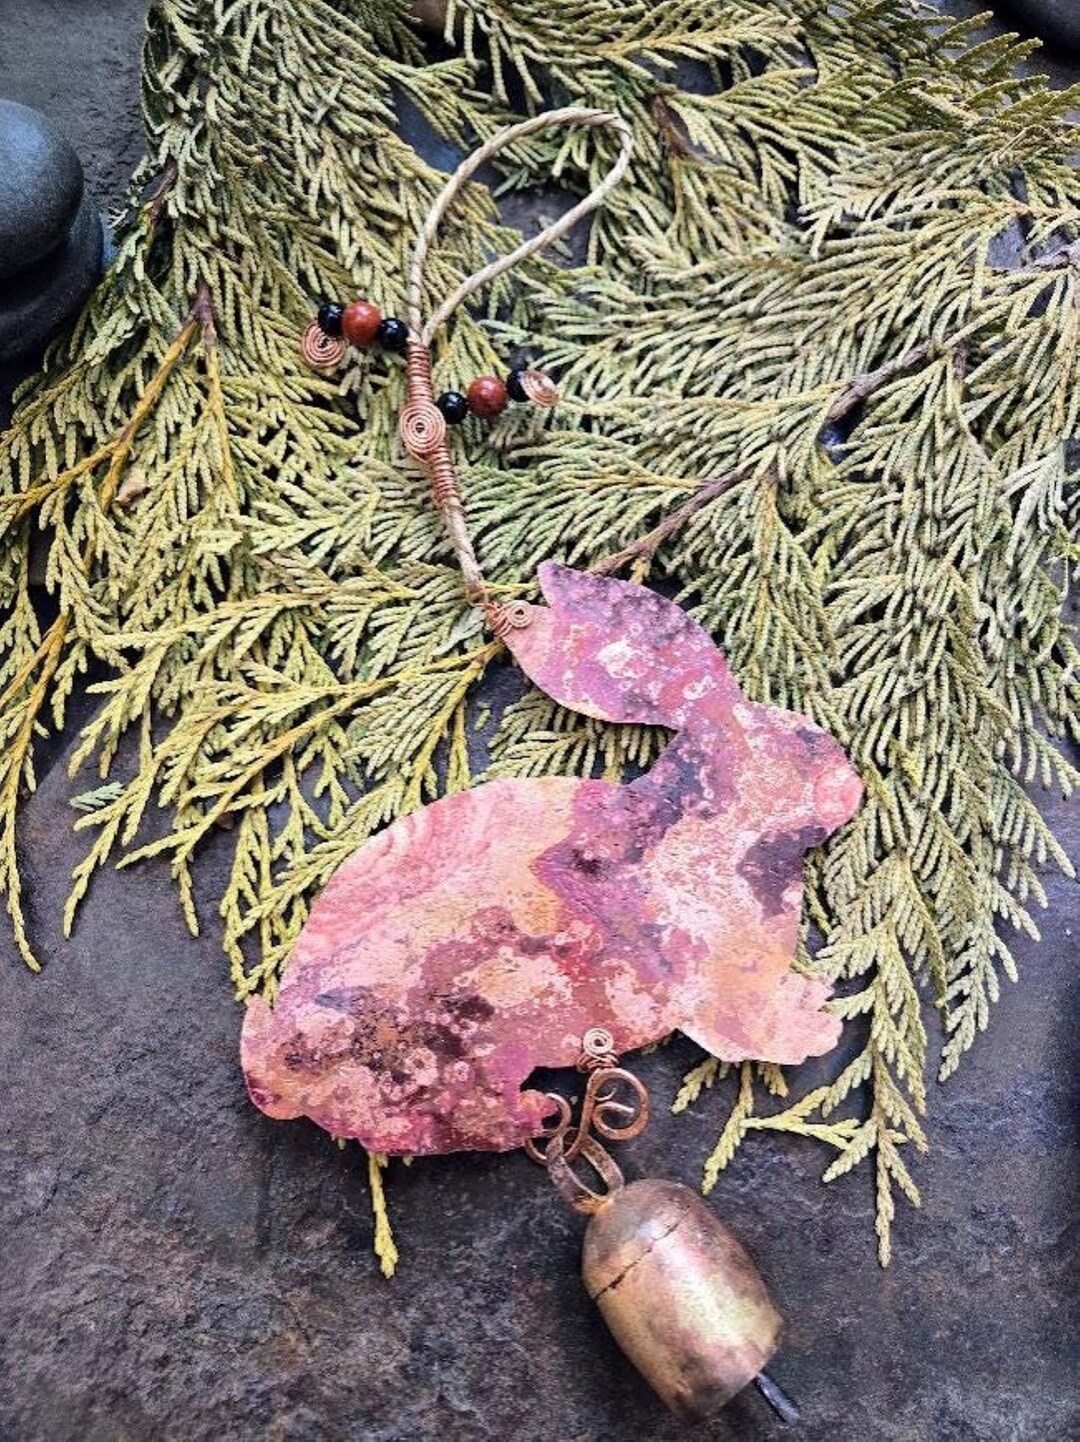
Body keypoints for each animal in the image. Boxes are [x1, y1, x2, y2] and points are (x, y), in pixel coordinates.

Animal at [241, 563, 863, 1156]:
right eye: (806, 743)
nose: (851, 784)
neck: (707, 819)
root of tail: (276, 1078)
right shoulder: (716, 986)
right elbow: (748, 1031)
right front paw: (816, 1023)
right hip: (433, 1058)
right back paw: (534, 1115)